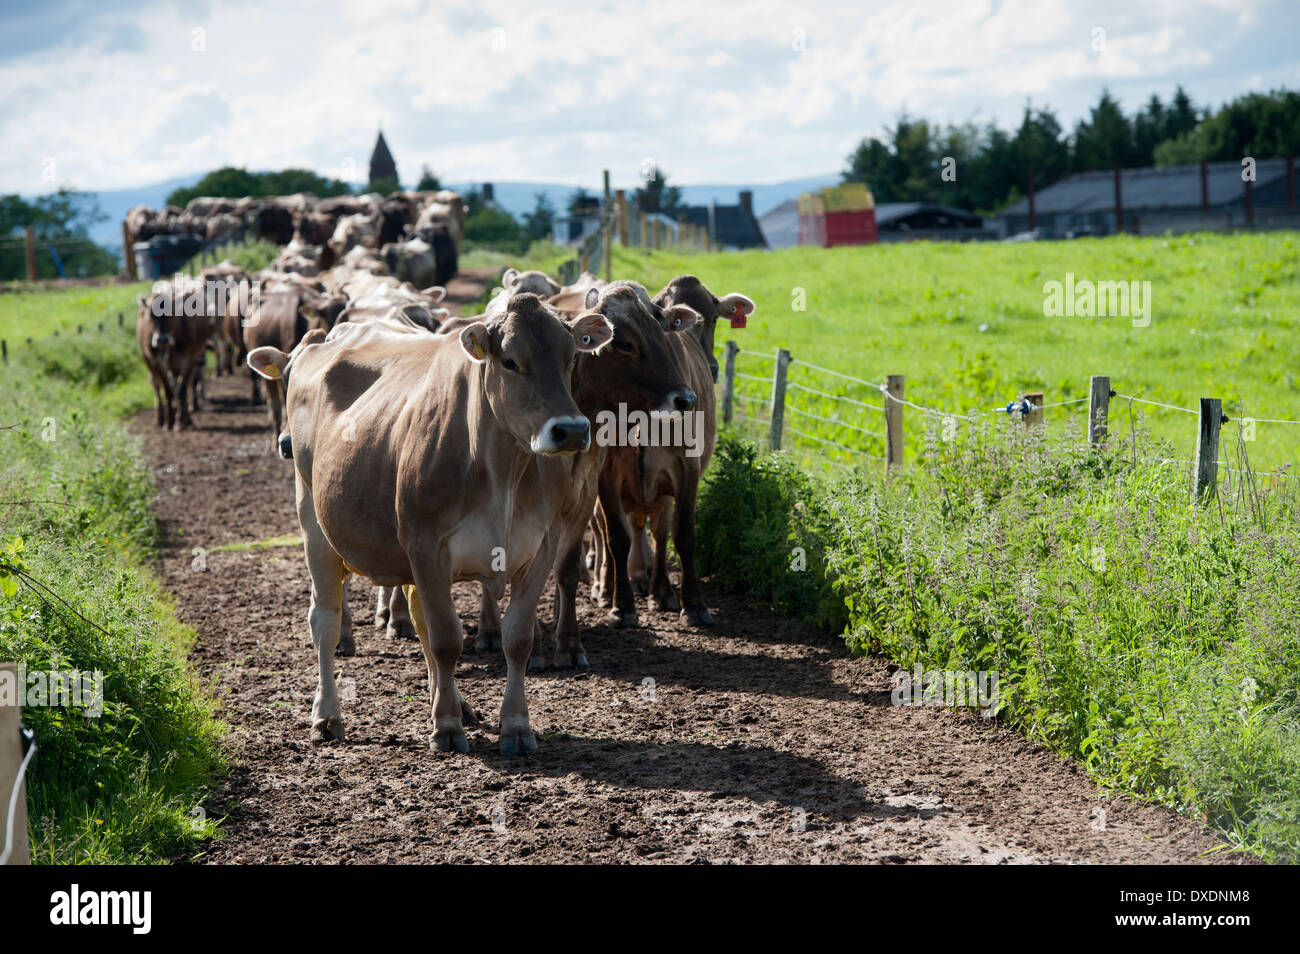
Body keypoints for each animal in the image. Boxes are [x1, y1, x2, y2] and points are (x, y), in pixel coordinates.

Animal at [246, 293, 613, 753]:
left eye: (571, 358)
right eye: (510, 361)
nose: (571, 430)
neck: (502, 469)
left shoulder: (540, 548)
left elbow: (516, 640)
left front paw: (515, 725)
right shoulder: (427, 547)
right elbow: (445, 639)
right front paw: (447, 726)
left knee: (416, 620)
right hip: (315, 526)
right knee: (325, 621)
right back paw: (327, 715)